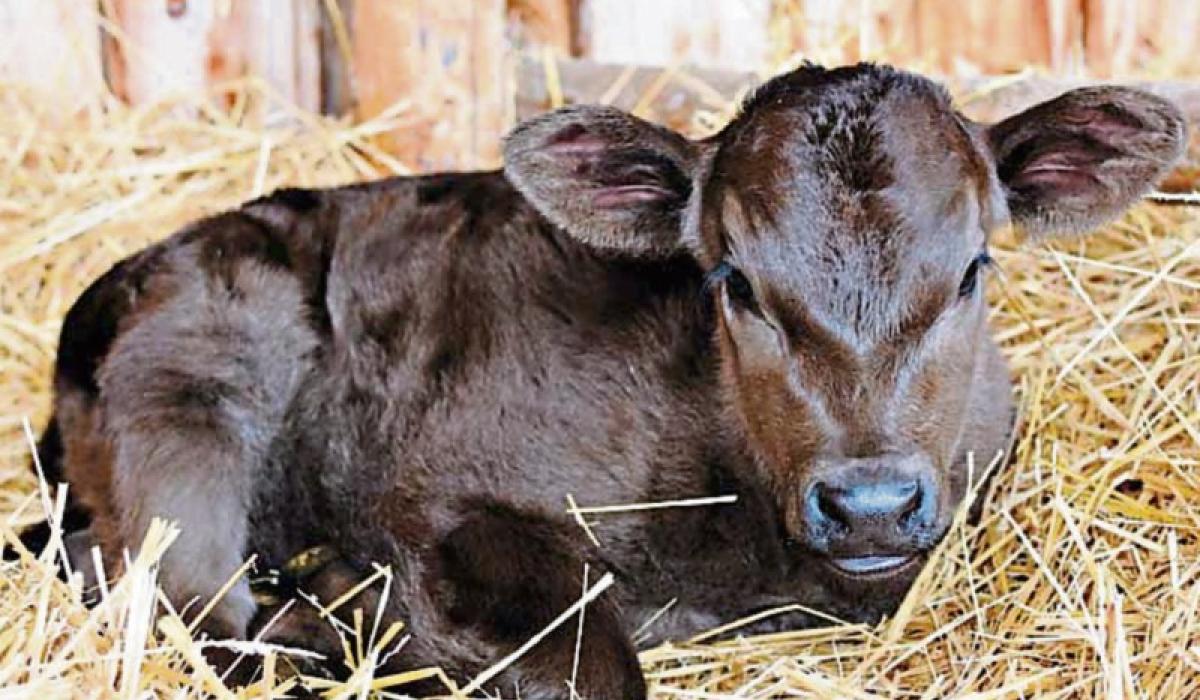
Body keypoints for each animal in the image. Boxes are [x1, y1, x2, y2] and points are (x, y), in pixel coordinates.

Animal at [29, 63, 1184, 697]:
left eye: (973, 269)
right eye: (734, 280)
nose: (869, 503)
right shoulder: (440, 499)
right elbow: (592, 665)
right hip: (191, 417)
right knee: (177, 605)